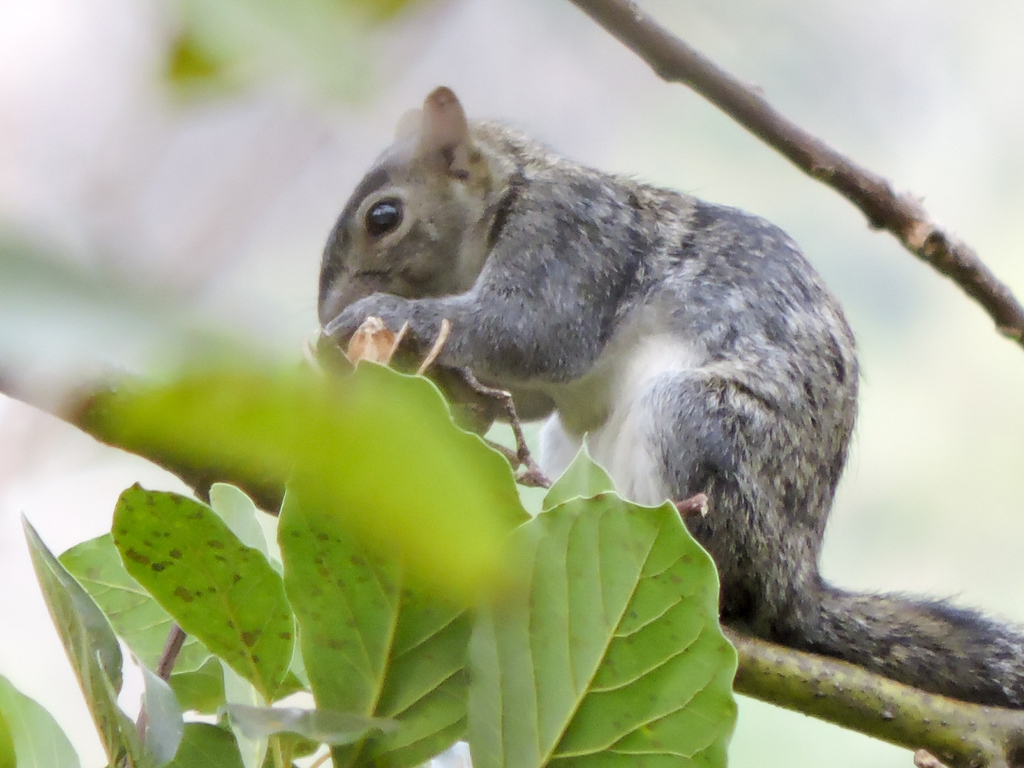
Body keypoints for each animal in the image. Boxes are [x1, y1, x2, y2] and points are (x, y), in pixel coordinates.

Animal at [317, 86, 1024, 709]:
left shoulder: (570, 240)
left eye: (383, 216)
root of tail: (795, 584)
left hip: (700, 424)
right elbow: (530, 388)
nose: (326, 314)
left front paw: (379, 321)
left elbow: (536, 334)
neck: (513, 190)